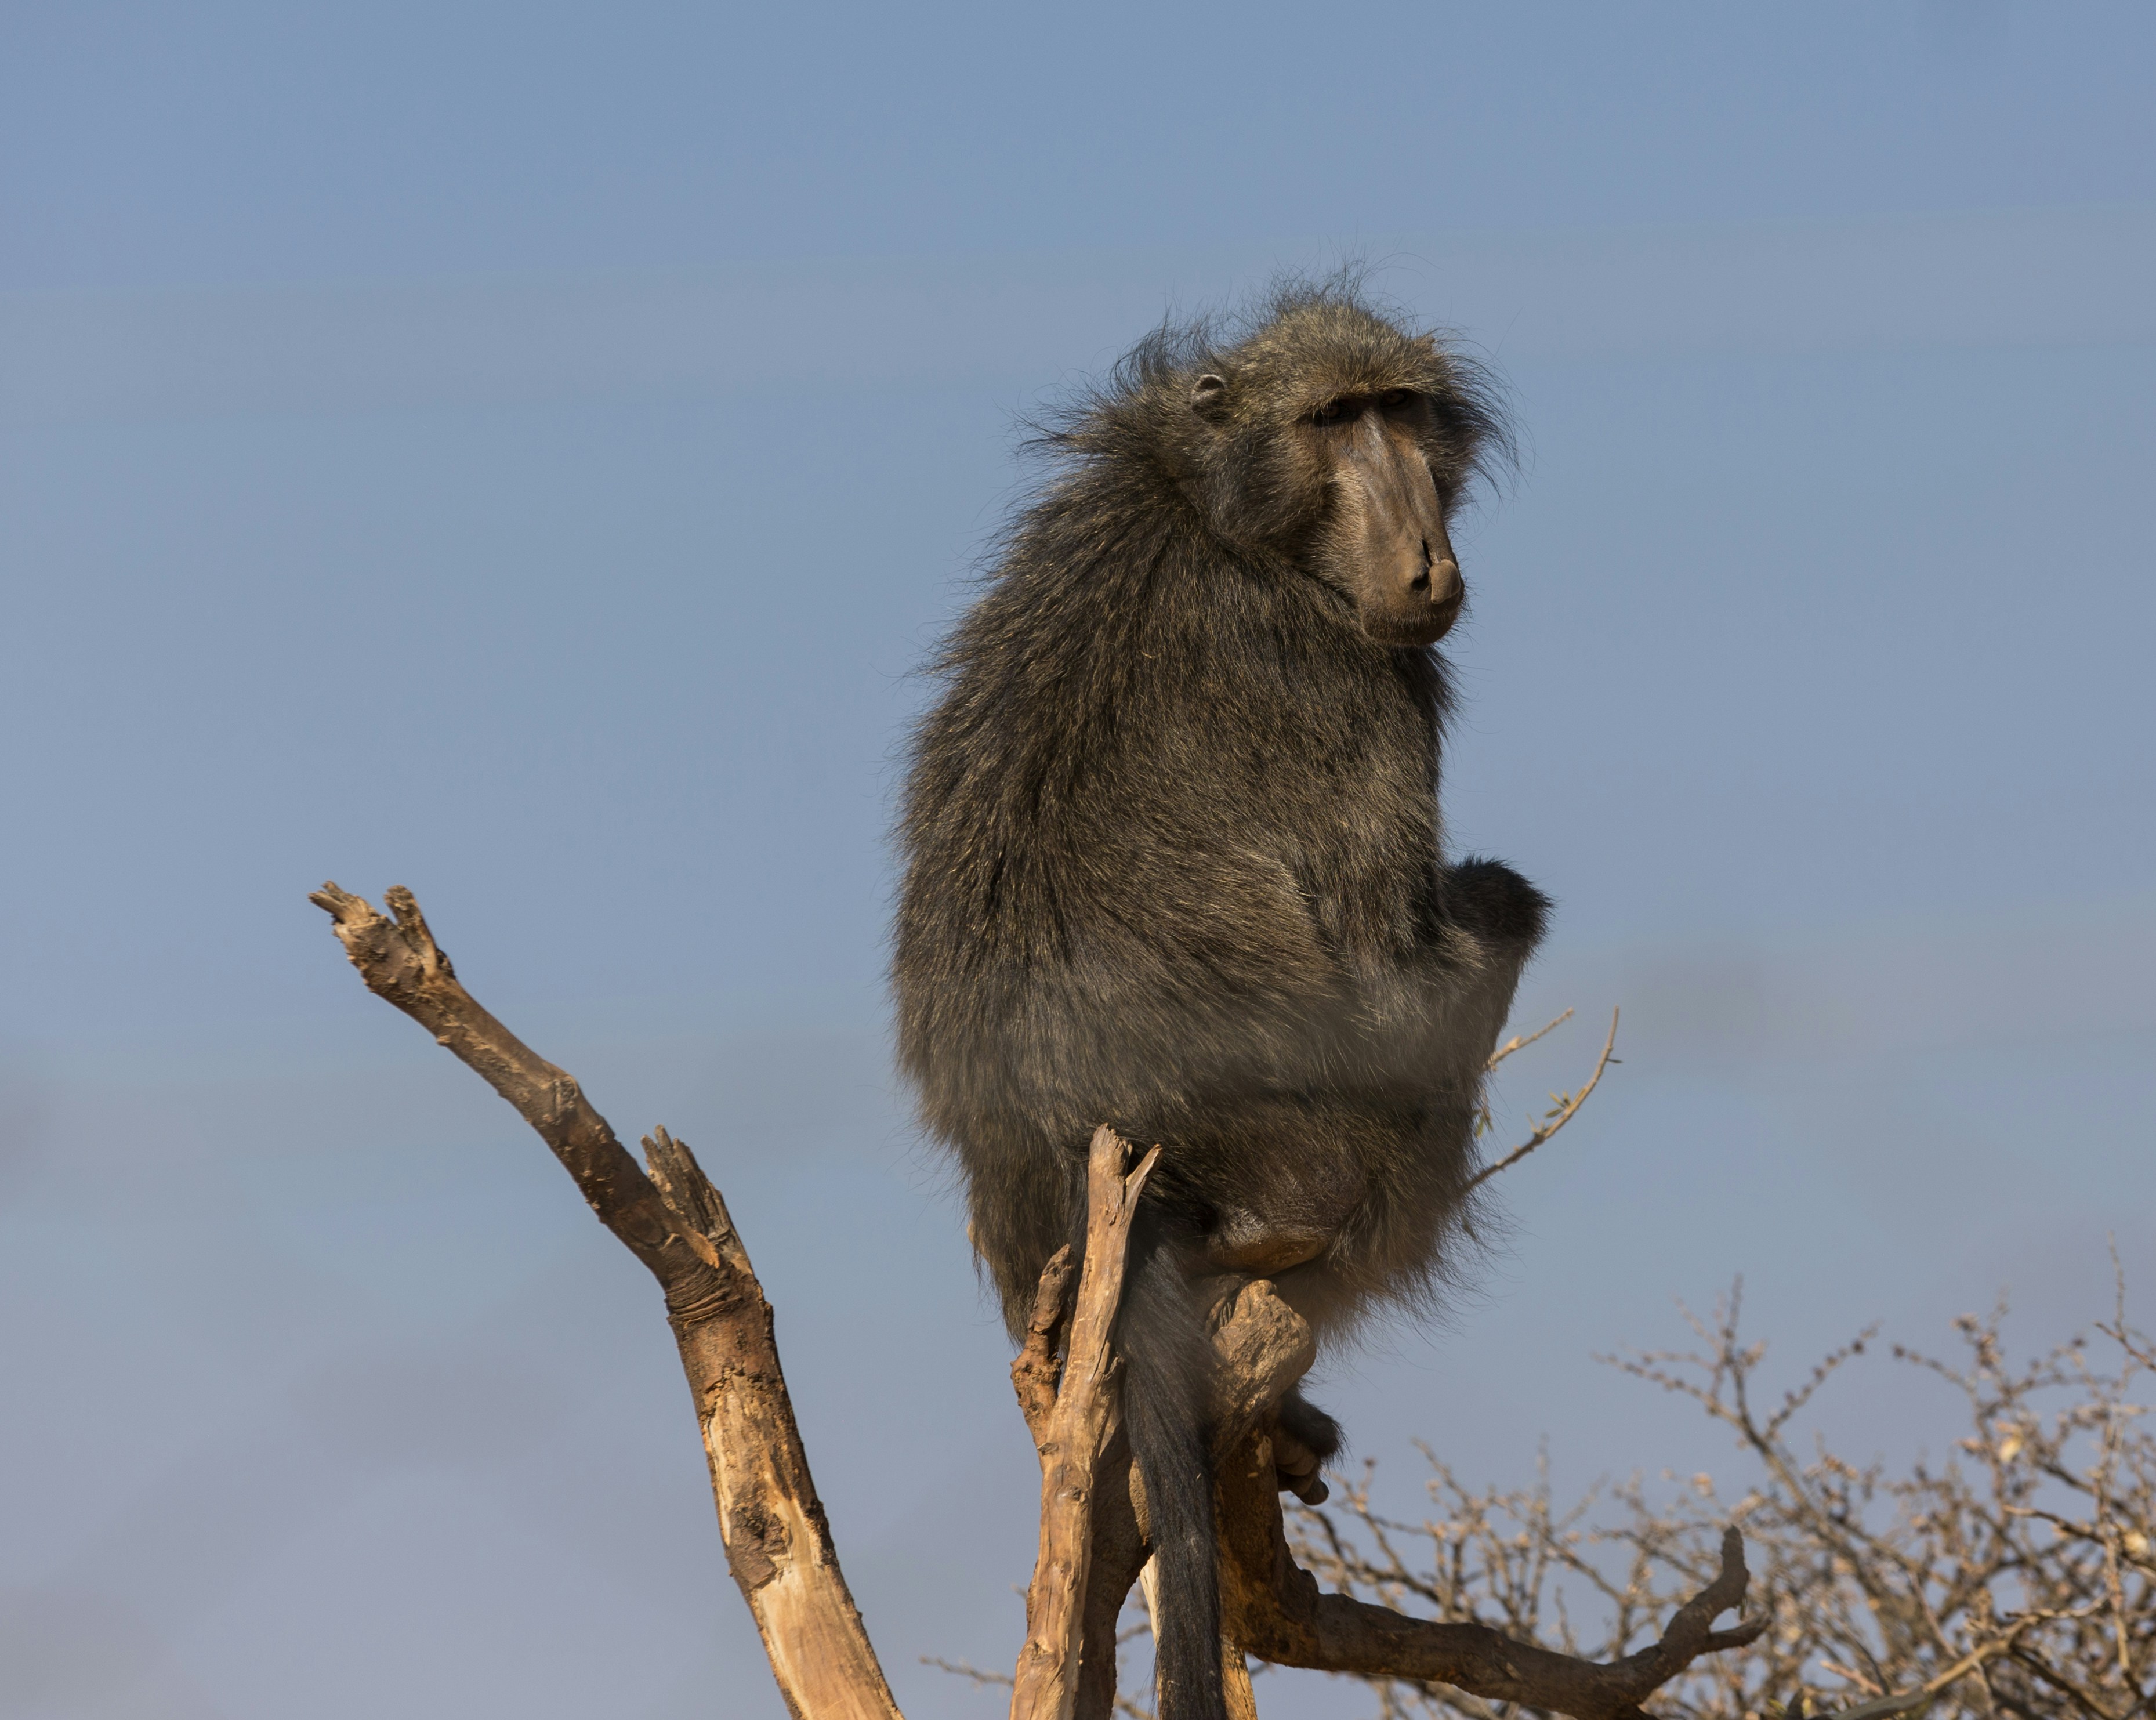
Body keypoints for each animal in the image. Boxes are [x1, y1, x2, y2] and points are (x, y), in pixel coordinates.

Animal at [892, 279, 1549, 1720]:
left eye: (1399, 410)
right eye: (1334, 420)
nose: (1423, 563)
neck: (1206, 508)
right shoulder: (1355, 680)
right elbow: (1411, 970)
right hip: (1344, 1166)